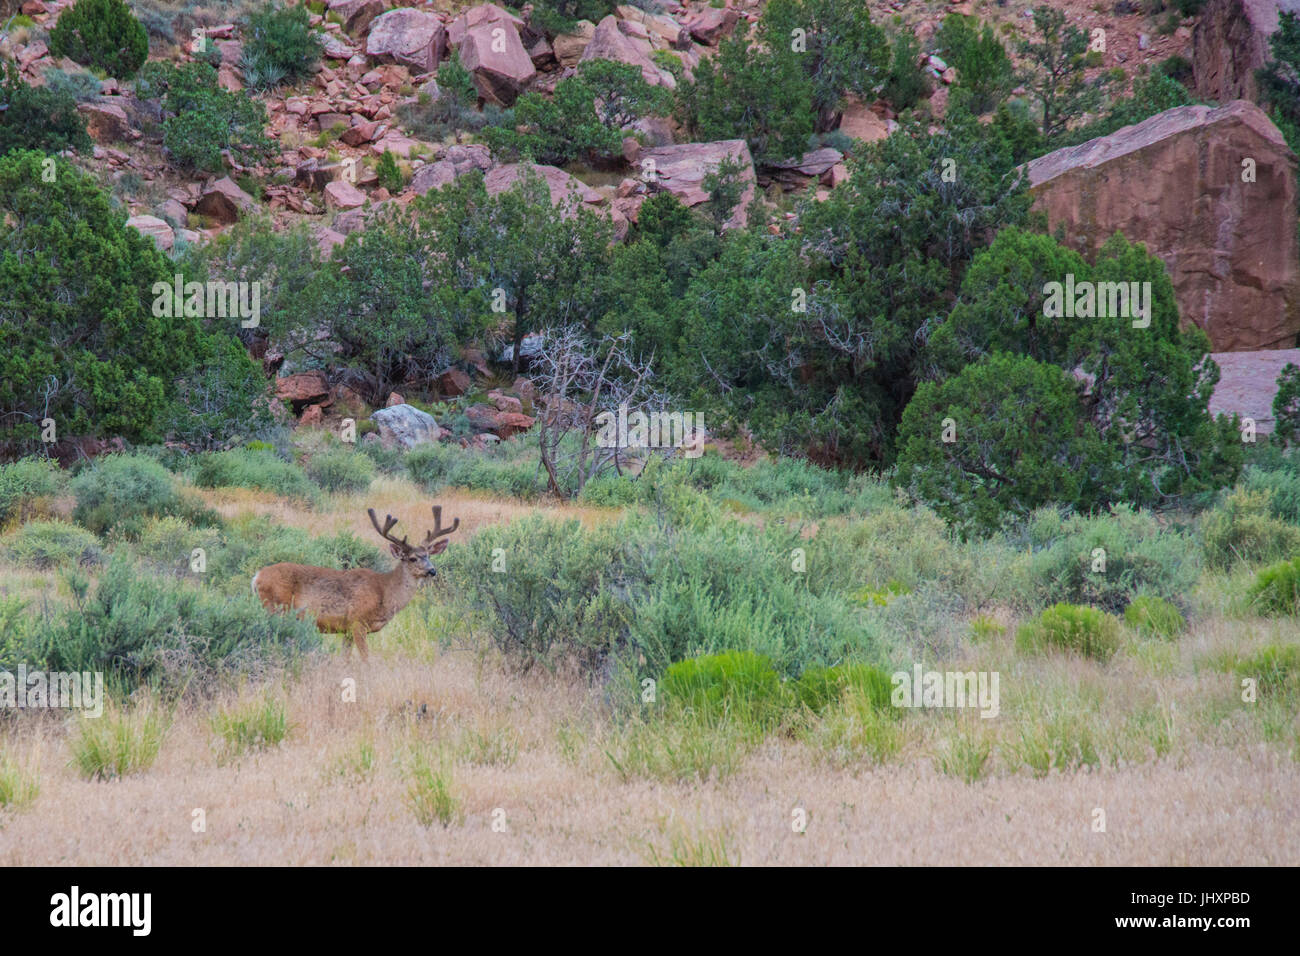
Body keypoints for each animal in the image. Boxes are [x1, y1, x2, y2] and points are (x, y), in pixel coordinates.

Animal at [252, 506, 460, 661]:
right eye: (412, 558)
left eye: (428, 556)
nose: (432, 571)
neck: (384, 592)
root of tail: (257, 577)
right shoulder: (357, 622)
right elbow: (366, 659)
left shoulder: (346, 630)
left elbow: (345, 659)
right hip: (276, 607)